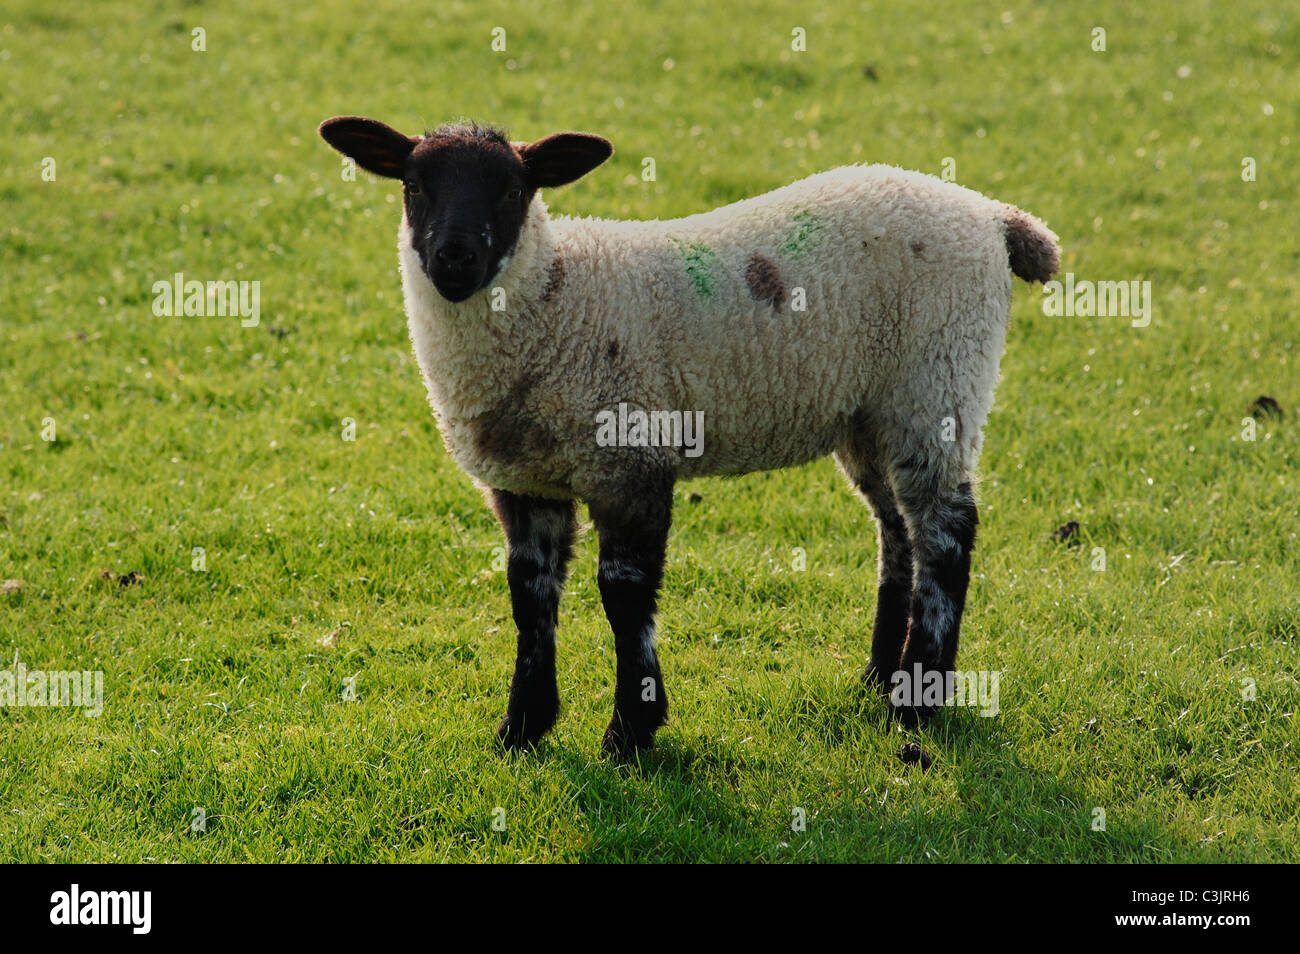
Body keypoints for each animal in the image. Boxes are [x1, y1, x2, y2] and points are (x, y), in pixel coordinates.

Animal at [318, 115, 1061, 754]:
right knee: (897, 531)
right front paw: (523, 728)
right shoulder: (525, 481)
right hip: (870, 412)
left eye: (512, 188)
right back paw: (880, 676)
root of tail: (994, 217)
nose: (453, 259)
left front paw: (631, 731)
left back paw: (918, 701)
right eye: (415, 185)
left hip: (937, 381)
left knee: (946, 533)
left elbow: (624, 595)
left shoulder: (631, 458)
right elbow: (530, 597)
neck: (558, 300)